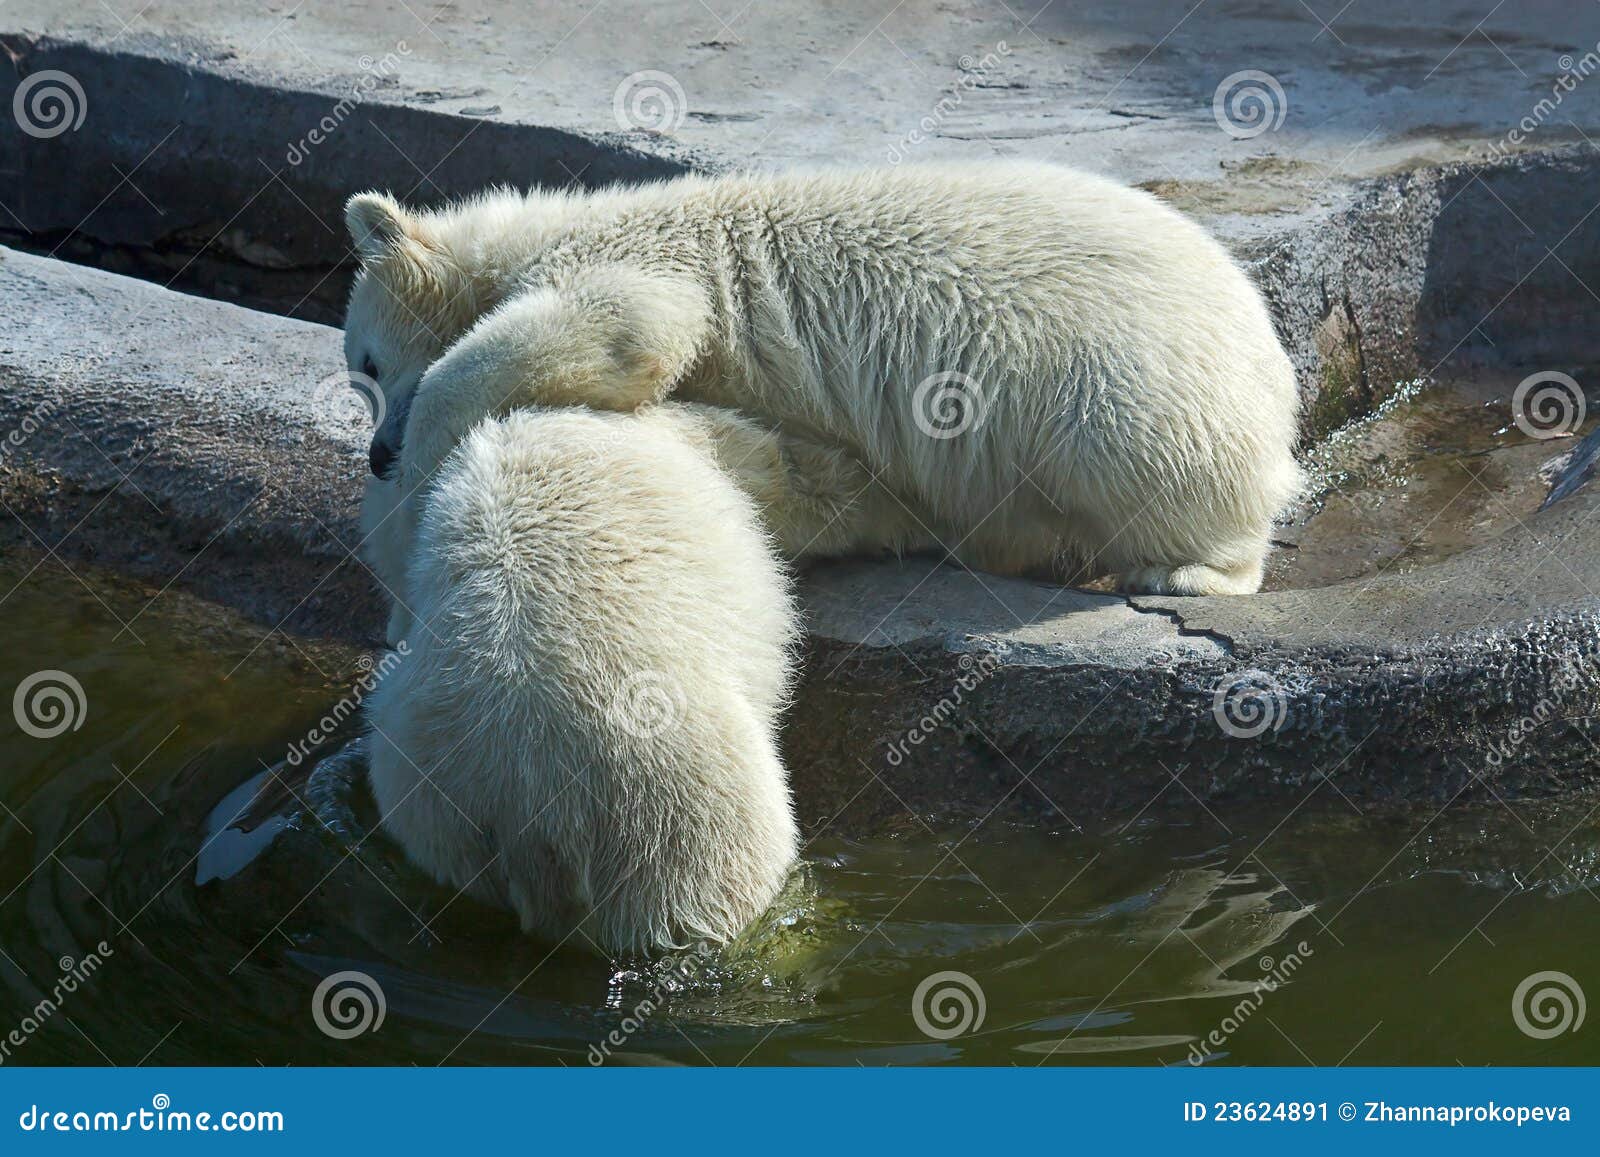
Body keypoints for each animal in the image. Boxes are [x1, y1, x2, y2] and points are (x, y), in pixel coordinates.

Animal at [341, 162, 1303, 599]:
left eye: (363, 364)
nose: (377, 456)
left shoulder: (641, 258)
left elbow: (629, 327)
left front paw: (426, 445)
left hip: (1128, 383)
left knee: (1150, 461)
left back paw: (1187, 572)